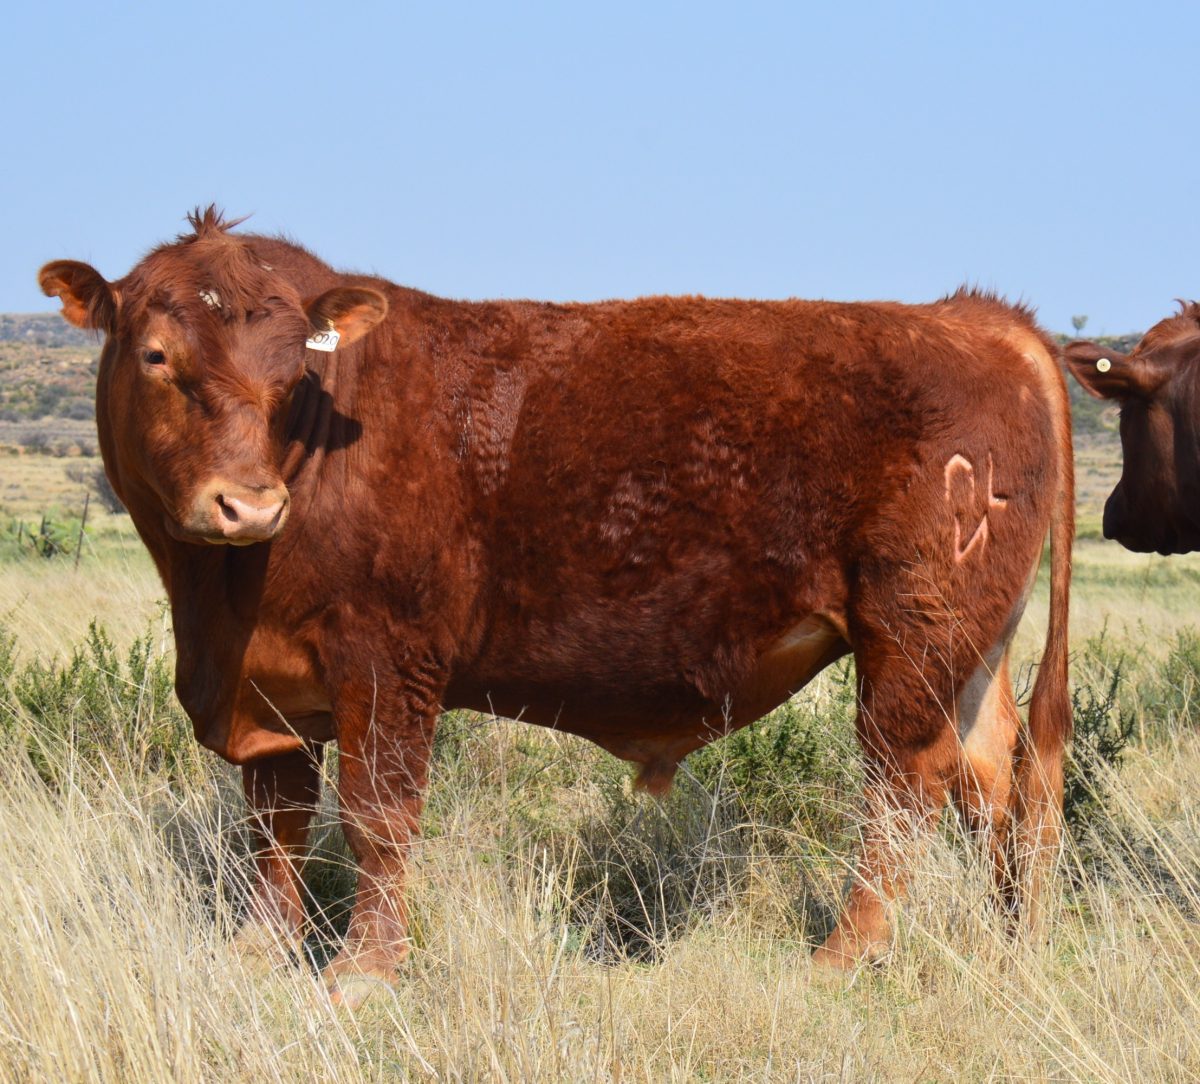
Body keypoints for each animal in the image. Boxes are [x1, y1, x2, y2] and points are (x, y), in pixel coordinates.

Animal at [39, 209, 1073, 1007]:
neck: (217, 607)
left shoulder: (387, 659)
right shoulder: (272, 687)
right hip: (972, 648)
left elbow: (377, 815)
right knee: (999, 779)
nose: (248, 505)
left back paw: (843, 956)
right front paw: (258, 954)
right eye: (157, 355)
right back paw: (1009, 946)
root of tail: (977, 319)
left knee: (904, 784)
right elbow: (275, 827)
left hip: (909, 637)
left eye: (295, 375)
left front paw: (362, 975)